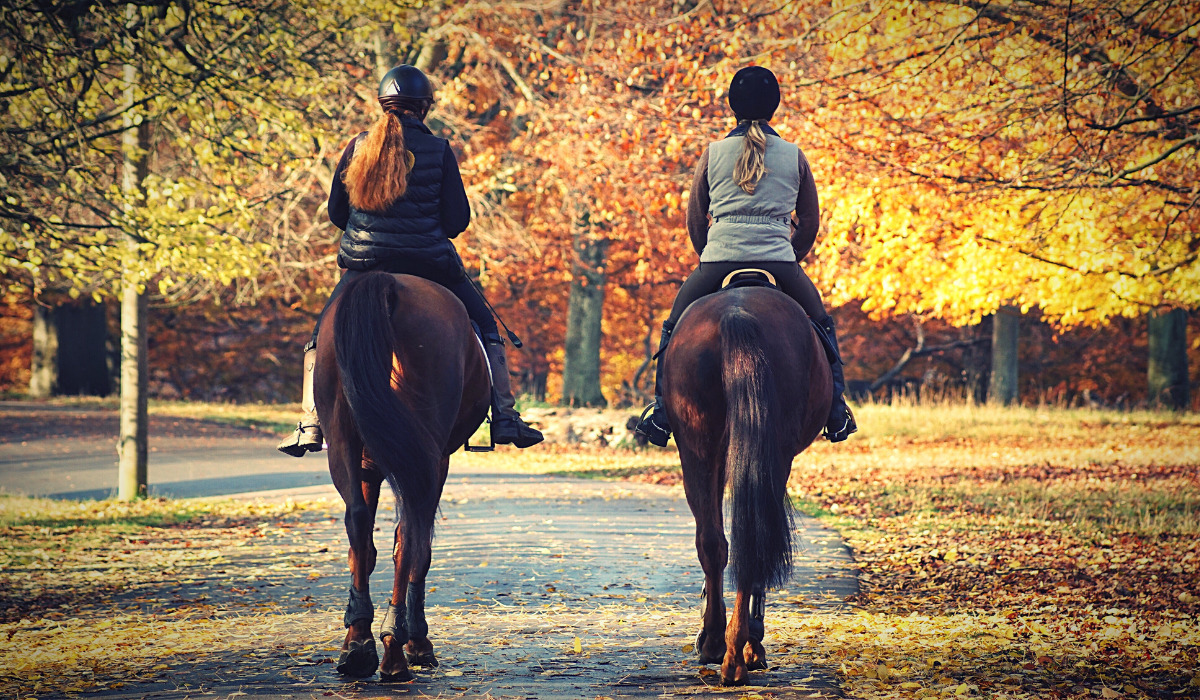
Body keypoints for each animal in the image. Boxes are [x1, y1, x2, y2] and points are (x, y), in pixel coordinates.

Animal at [312, 270, 491, 682]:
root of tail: (388, 282)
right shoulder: (436, 461)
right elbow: (418, 549)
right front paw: (418, 642)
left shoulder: (368, 466)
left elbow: (362, 549)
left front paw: (354, 637)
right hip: (424, 453)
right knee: (409, 535)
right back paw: (395, 650)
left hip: (342, 435)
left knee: (358, 521)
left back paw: (359, 646)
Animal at [662, 283, 832, 686]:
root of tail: (737, 313)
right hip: (764, 452)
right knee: (751, 539)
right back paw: (741, 649)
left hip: (698, 447)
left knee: (715, 542)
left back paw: (723, 647)